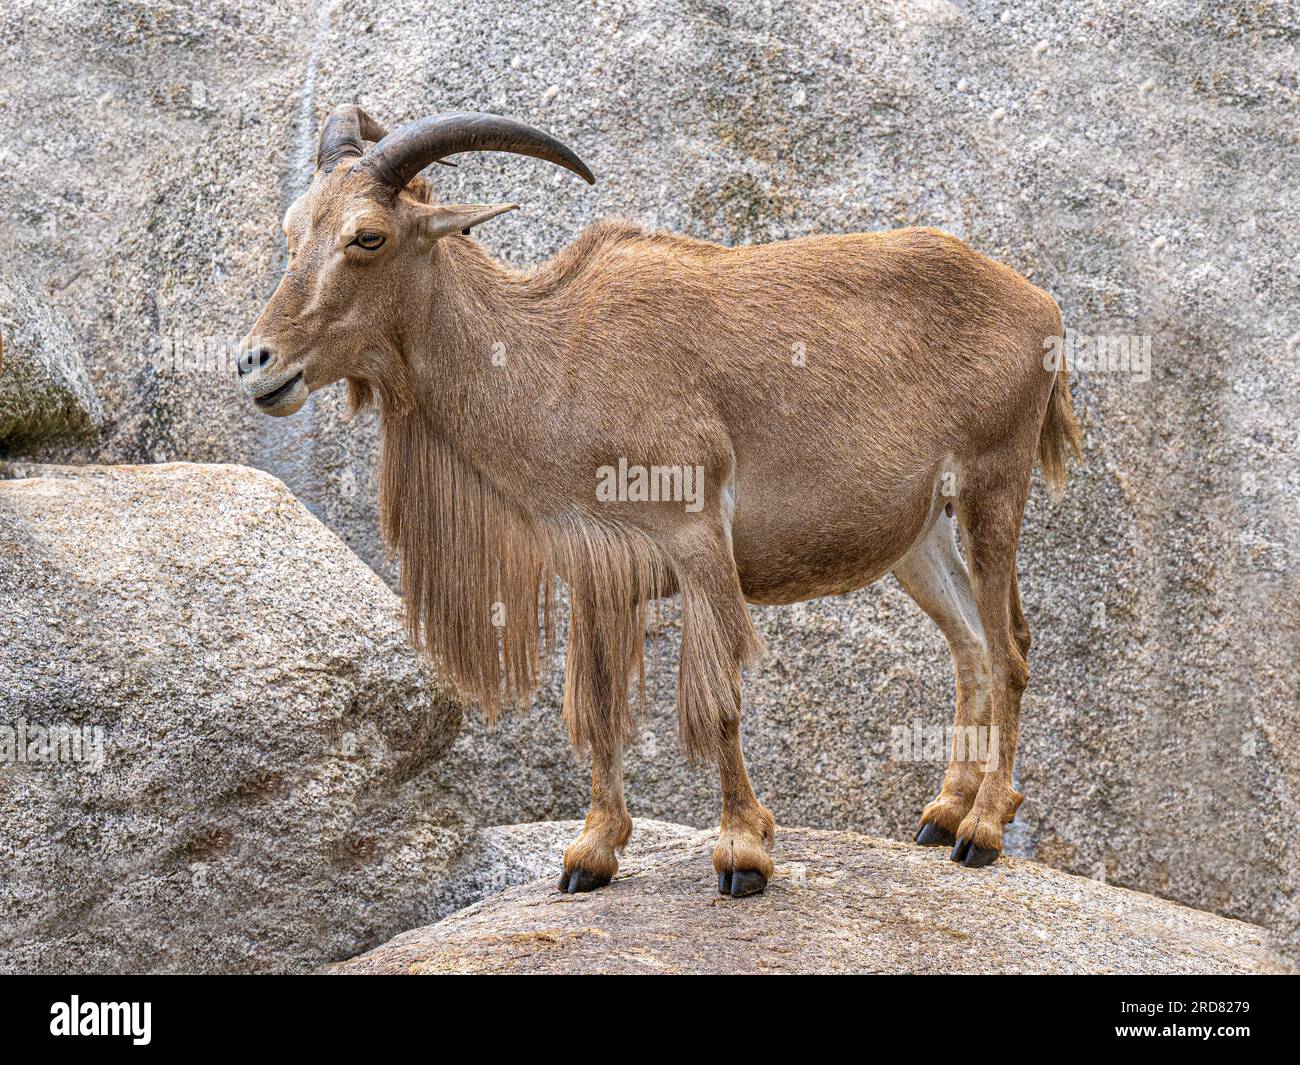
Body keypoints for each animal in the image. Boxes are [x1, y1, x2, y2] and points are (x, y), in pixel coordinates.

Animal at [239, 105, 1082, 897]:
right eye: (293, 231)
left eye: (368, 237)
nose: (256, 363)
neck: (554, 356)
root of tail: (1041, 305)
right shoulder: (598, 569)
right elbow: (599, 704)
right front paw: (591, 852)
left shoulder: (696, 535)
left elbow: (718, 698)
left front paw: (743, 852)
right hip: (919, 536)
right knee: (969, 645)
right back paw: (943, 810)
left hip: (992, 487)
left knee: (1010, 647)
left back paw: (983, 827)